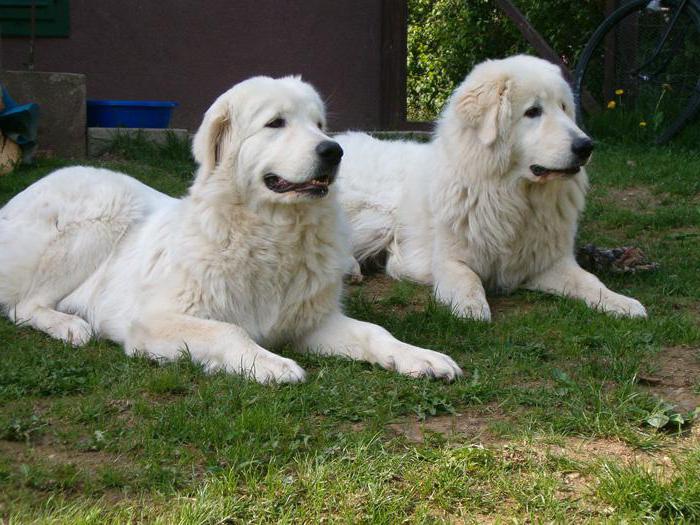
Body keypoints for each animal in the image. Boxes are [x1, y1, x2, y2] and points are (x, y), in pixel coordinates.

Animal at [0, 75, 462, 382]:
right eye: (276, 123)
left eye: (318, 125)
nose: (334, 151)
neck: (270, 234)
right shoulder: (152, 321)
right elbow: (229, 330)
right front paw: (270, 363)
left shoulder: (310, 323)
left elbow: (375, 332)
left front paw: (419, 356)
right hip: (106, 212)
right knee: (24, 306)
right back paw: (69, 326)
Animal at [336, 56, 648, 320]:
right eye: (533, 111)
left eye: (563, 108)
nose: (586, 146)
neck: (512, 195)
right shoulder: (450, 259)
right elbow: (468, 279)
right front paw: (471, 307)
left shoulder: (547, 263)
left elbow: (589, 281)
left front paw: (622, 302)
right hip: (377, 219)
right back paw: (350, 269)